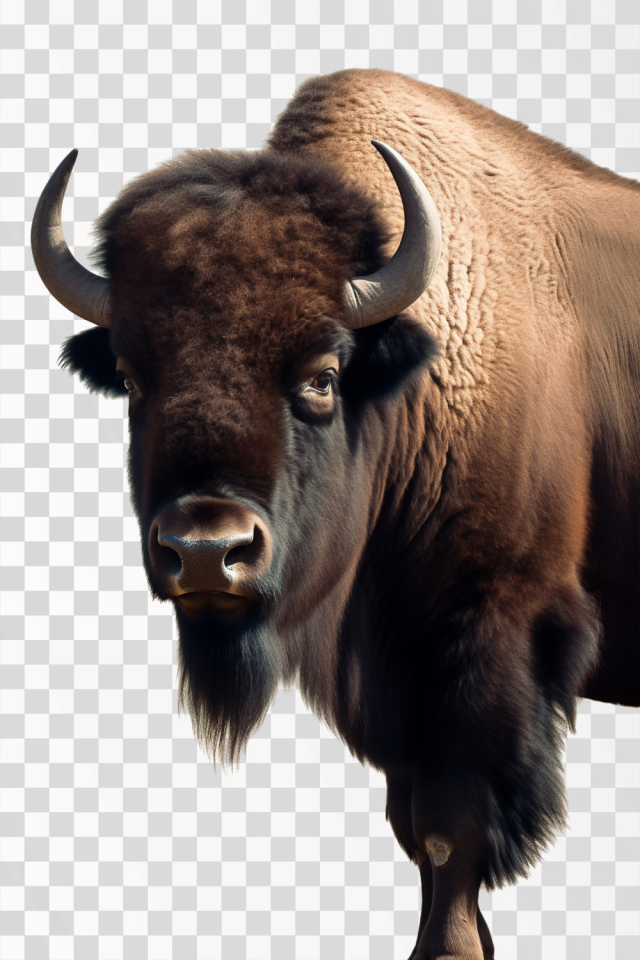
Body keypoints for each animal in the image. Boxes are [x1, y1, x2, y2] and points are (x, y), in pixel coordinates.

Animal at [32, 69, 639, 959]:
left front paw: (451, 947)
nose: (205, 550)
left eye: (322, 374)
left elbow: (451, 826)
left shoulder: (492, 633)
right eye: (134, 378)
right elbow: (416, 828)